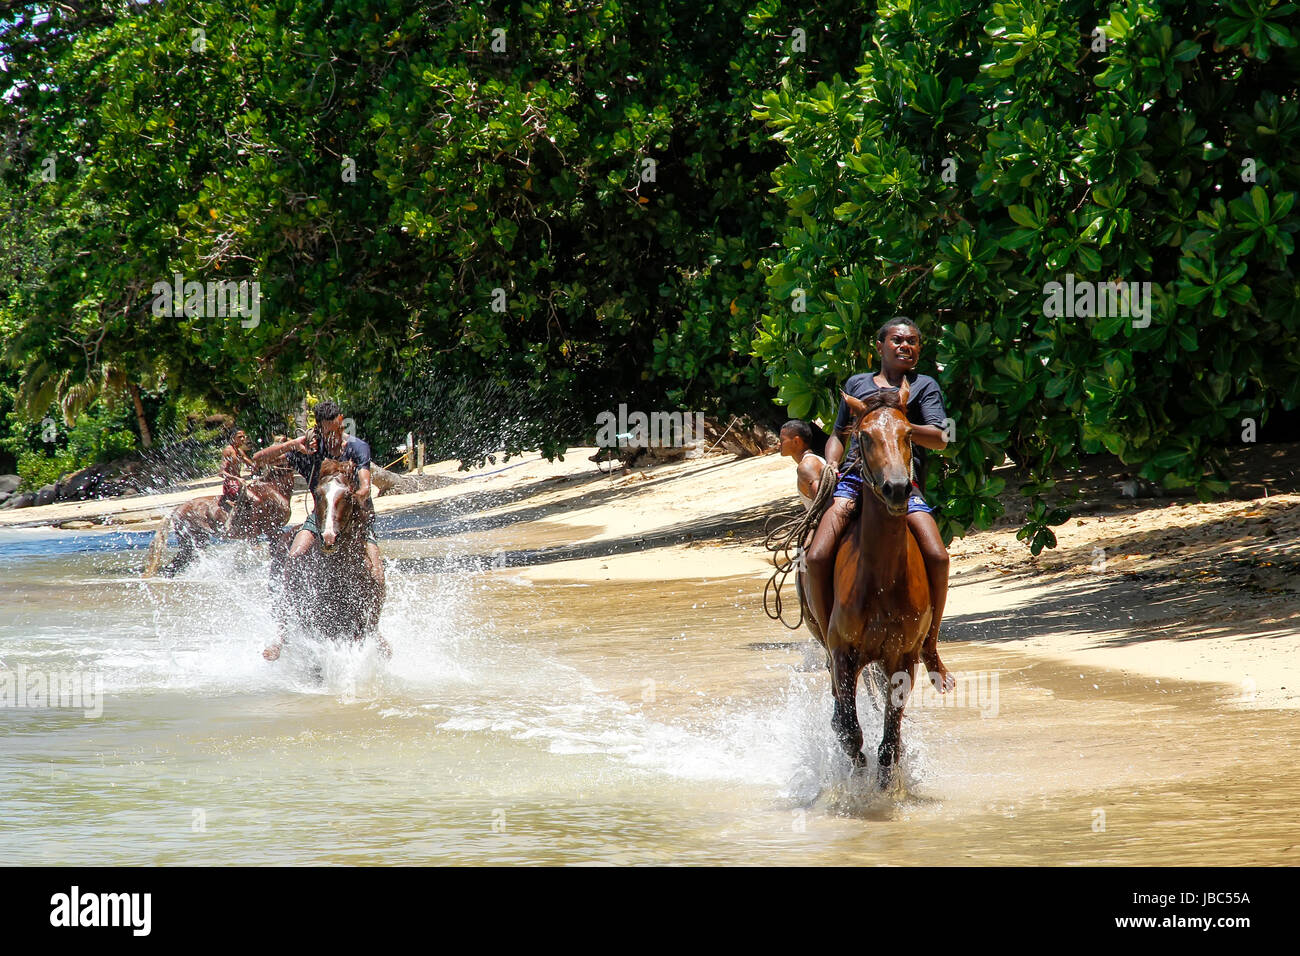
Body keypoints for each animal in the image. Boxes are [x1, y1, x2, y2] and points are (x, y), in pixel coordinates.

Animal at [142, 459, 295, 577]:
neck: (274, 489)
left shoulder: (274, 531)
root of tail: (175, 511)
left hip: (194, 544)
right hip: (193, 542)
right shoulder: (272, 530)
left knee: (173, 567)